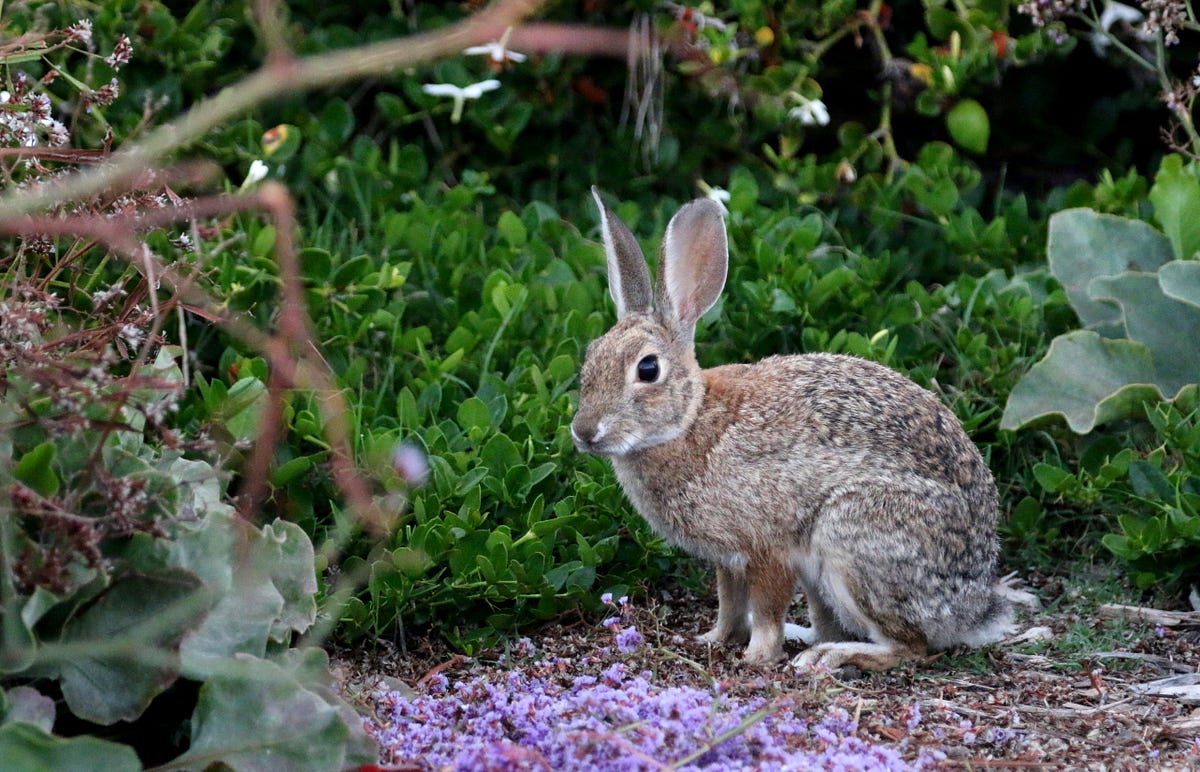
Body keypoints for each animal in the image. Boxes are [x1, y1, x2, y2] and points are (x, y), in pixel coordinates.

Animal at [571, 188, 1034, 670]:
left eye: (647, 369)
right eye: (591, 355)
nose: (584, 431)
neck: (690, 419)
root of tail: (970, 610)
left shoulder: (768, 548)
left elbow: (766, 608)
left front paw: (756, 656)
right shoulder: (727, 560)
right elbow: (728, 603)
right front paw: (713, 640)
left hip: (852, 540)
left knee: (909, 647)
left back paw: (829, 656)